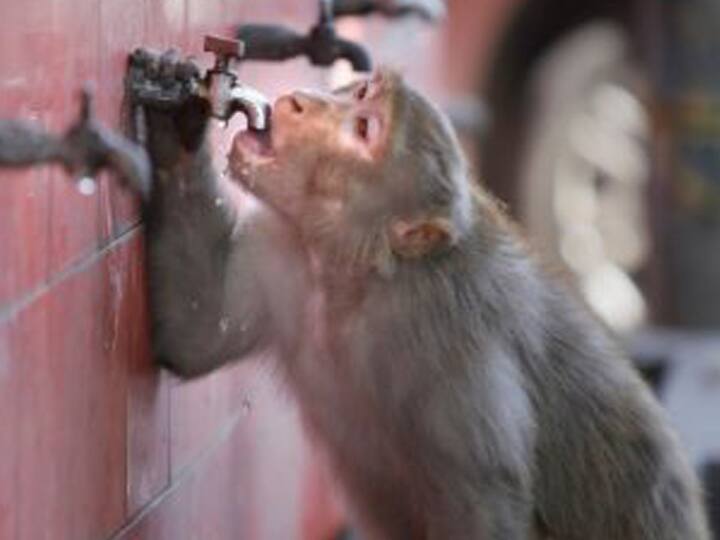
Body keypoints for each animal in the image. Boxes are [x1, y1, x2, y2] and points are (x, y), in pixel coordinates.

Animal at [131, 49, 709, 540]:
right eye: (360, 91)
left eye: (364, 129)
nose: (299, 101)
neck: (356, 277)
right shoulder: (286, 258)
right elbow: (196, 331)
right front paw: (177, 126)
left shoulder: (460, 358)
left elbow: (482, 504)